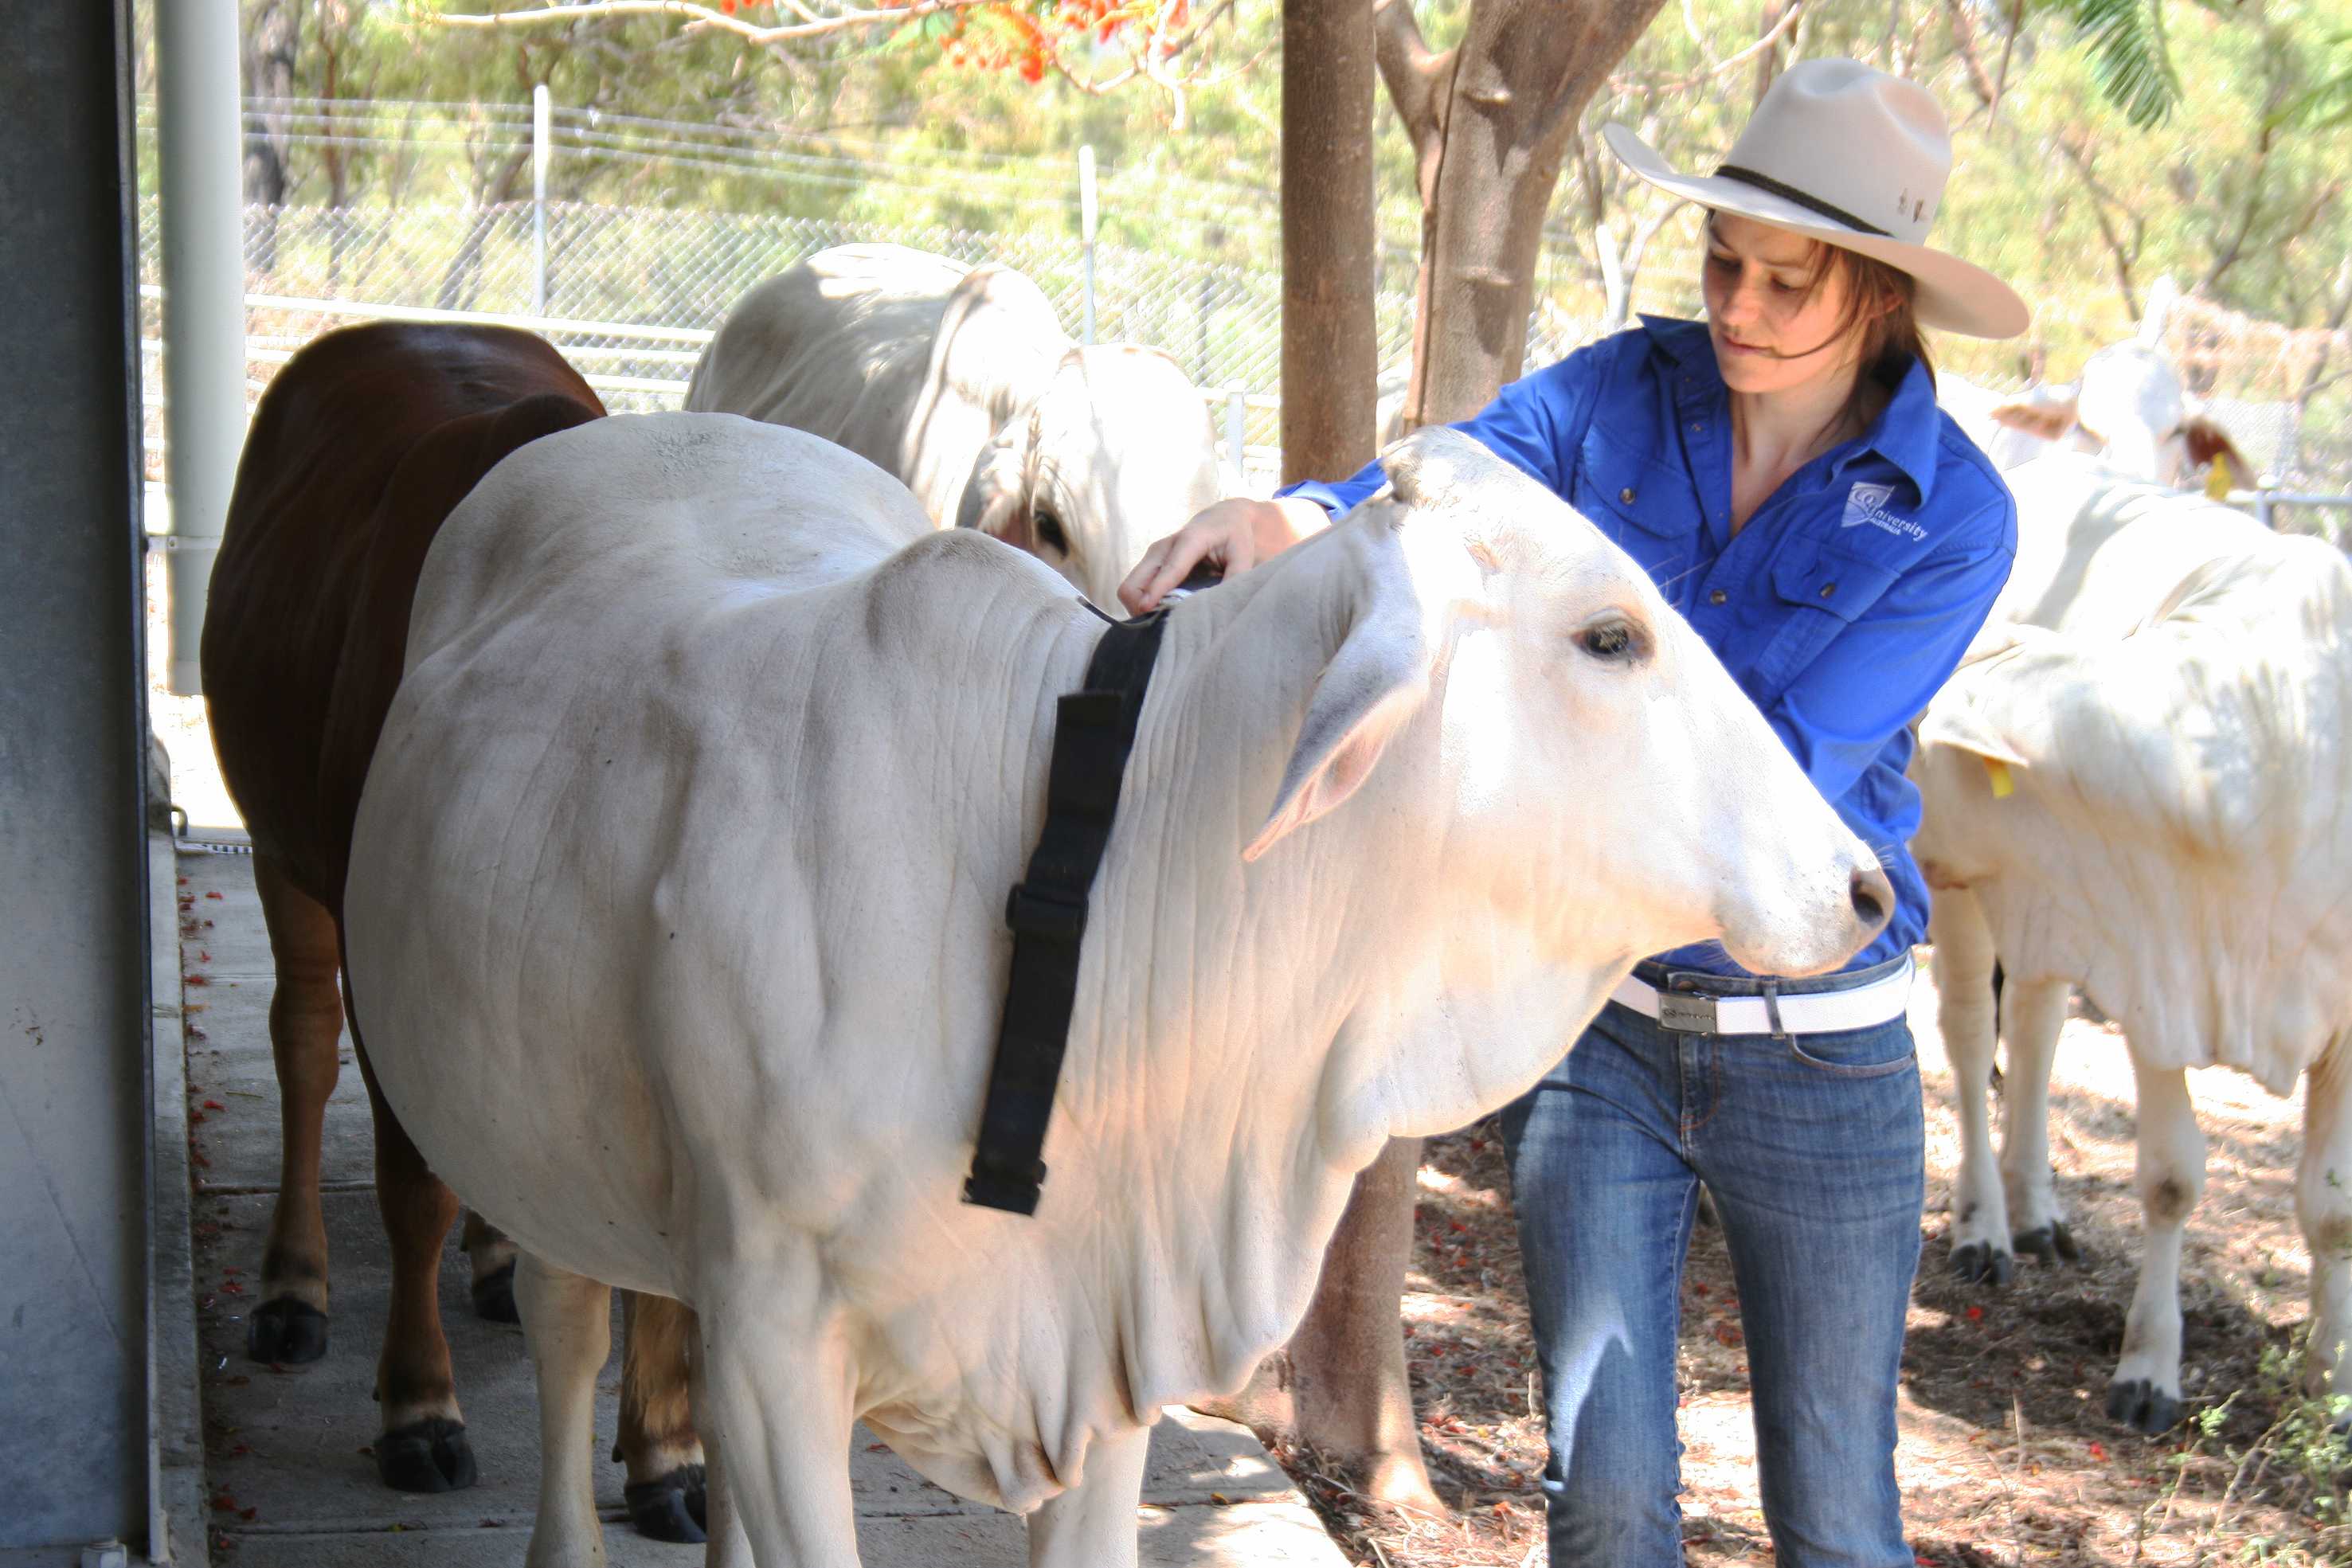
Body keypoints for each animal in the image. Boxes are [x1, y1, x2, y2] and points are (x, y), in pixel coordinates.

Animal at [200, 323, 707, 1534]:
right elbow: (410, 1183)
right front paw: (418, 1409)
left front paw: (666, 1452)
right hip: (282, 851)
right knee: (301, 1040)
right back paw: (294, 1289)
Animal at [340, 414, 1891, 1567]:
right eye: (1609, 636)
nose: (1865, 886)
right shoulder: (774, 1331)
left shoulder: (1105, 1339)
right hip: (540, 1151)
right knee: (563, 1325)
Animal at [1909, 452, 2352, 1434]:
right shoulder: (2157, 970)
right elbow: (2169, 1181)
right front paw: (2149, 1366)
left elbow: (2334, 1204)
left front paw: (2334, 1377)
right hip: (1968, 896)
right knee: (1970, 1036)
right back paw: (1983, 1225)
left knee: (2033, 1031)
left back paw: (2034, 1211)